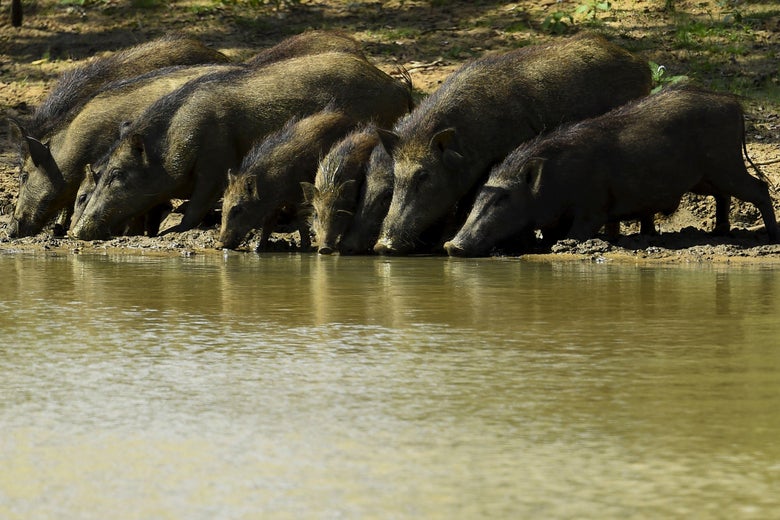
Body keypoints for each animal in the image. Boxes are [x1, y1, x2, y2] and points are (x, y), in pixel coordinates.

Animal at [217, 108, 358, 251]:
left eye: (238, 209)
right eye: (223, 206)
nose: (219, 245)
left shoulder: (299, 197)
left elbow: (300, 220)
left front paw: (304, 248)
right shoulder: (275, 205)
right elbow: (268, 224)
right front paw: (259, 249)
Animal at [443, 85, 779, 257]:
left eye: (503, 199)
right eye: (478, 199)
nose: (451, 246)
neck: (555, 180)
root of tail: (733, 104)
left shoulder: (593, 208)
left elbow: (576, 233)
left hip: (726, 165)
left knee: (759, 189)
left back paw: (771, 238)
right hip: (706, 177)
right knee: (725, 197)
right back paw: (719, 232)